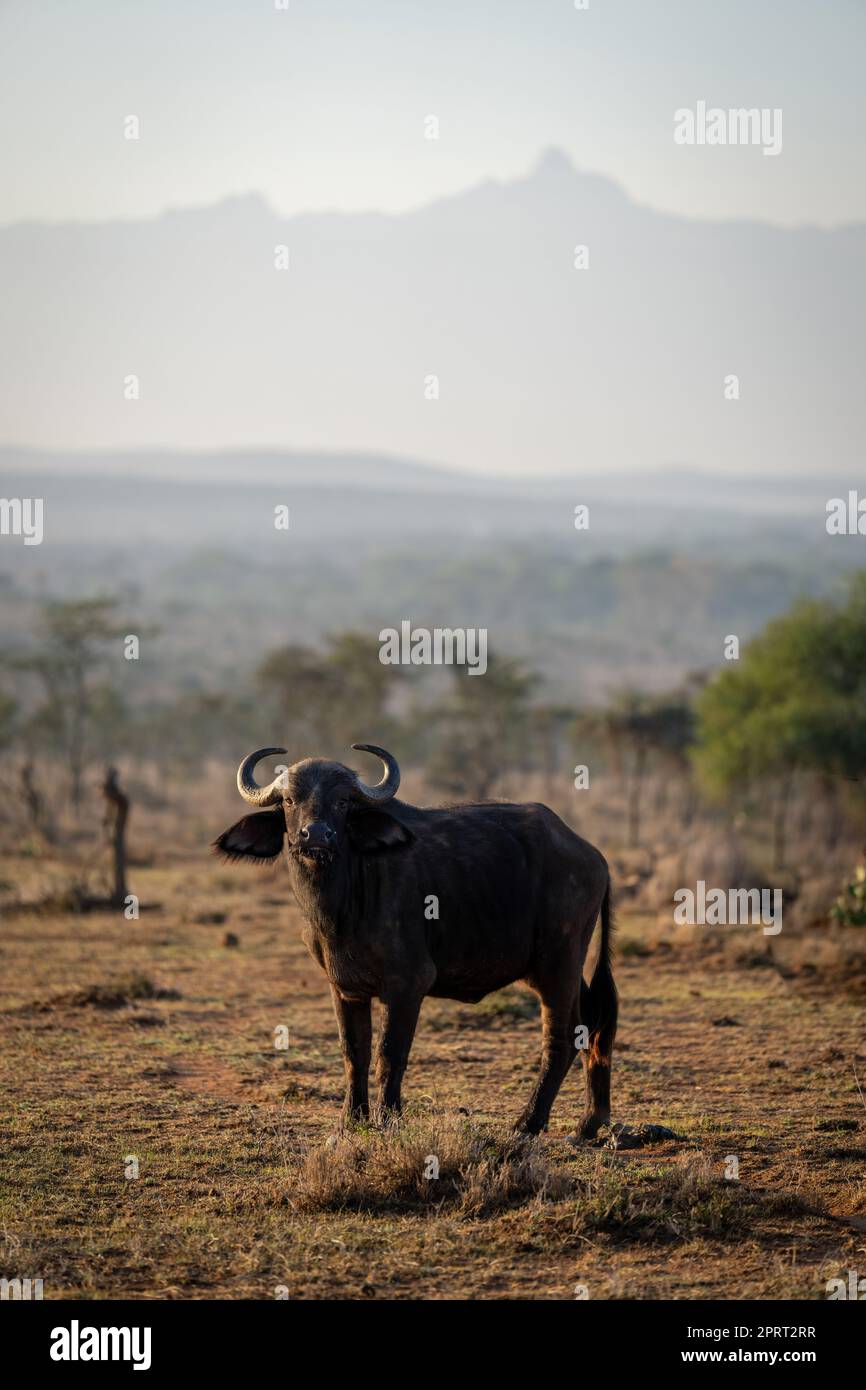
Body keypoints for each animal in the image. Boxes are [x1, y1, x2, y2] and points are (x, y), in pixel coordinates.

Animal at [215, 744, 617, 1139]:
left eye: (342, 801)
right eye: (289, 800)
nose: (315, 835)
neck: (341, 906)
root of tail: (593, 855)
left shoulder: (407, 984)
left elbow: (390, 1054)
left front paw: (387, 1119)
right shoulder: (343, 988)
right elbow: (354, 1052)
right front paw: (350, 1121)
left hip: (558, 964)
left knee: (563, 1036)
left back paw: (528, 1123)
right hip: (560, 968)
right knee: (591, 1024)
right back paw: (589, 1121)